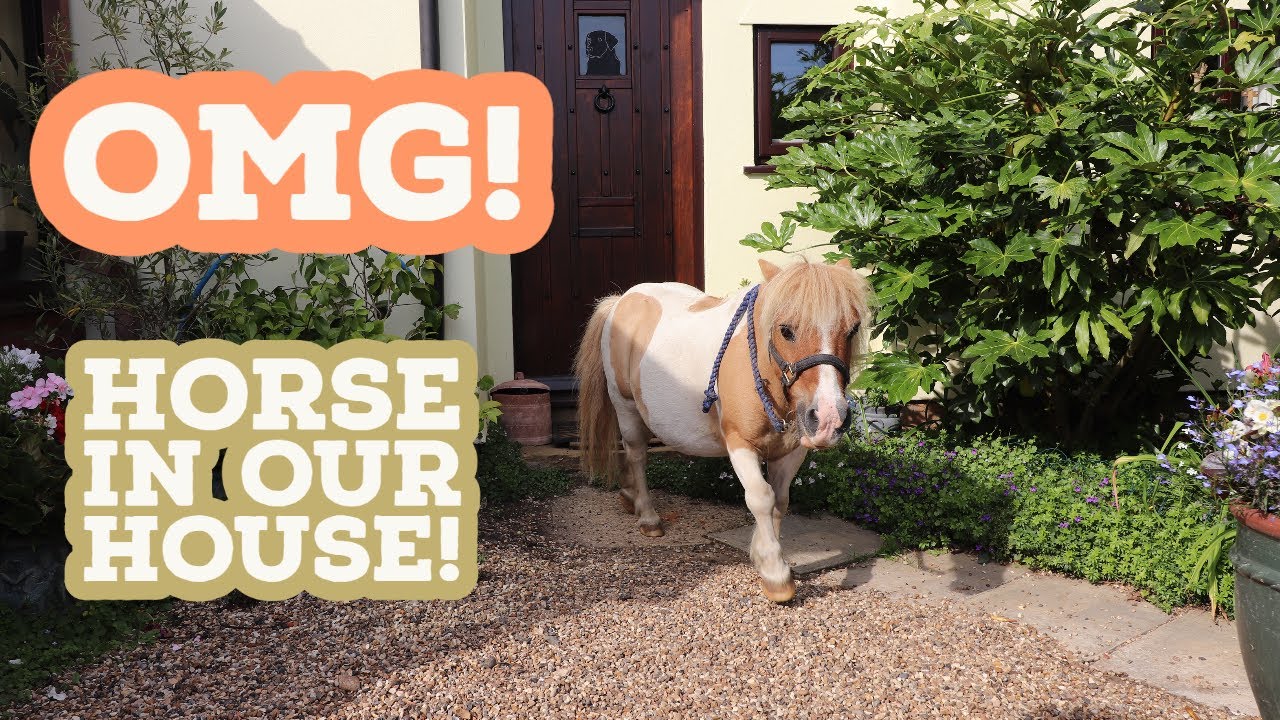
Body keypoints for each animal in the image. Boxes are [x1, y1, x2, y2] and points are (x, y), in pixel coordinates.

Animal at [573, 258, 873, 602]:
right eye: (786, 330)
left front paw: (763, 555)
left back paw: (628, 496)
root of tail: (622, 300)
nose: (828, 419)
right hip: (626, 407)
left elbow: (780, 501)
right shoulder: (739, 443)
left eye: (851, 329)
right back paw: (647, 516)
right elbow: (761, 498)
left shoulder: (792, 450)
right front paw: (775, 574)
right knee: (636, 456)